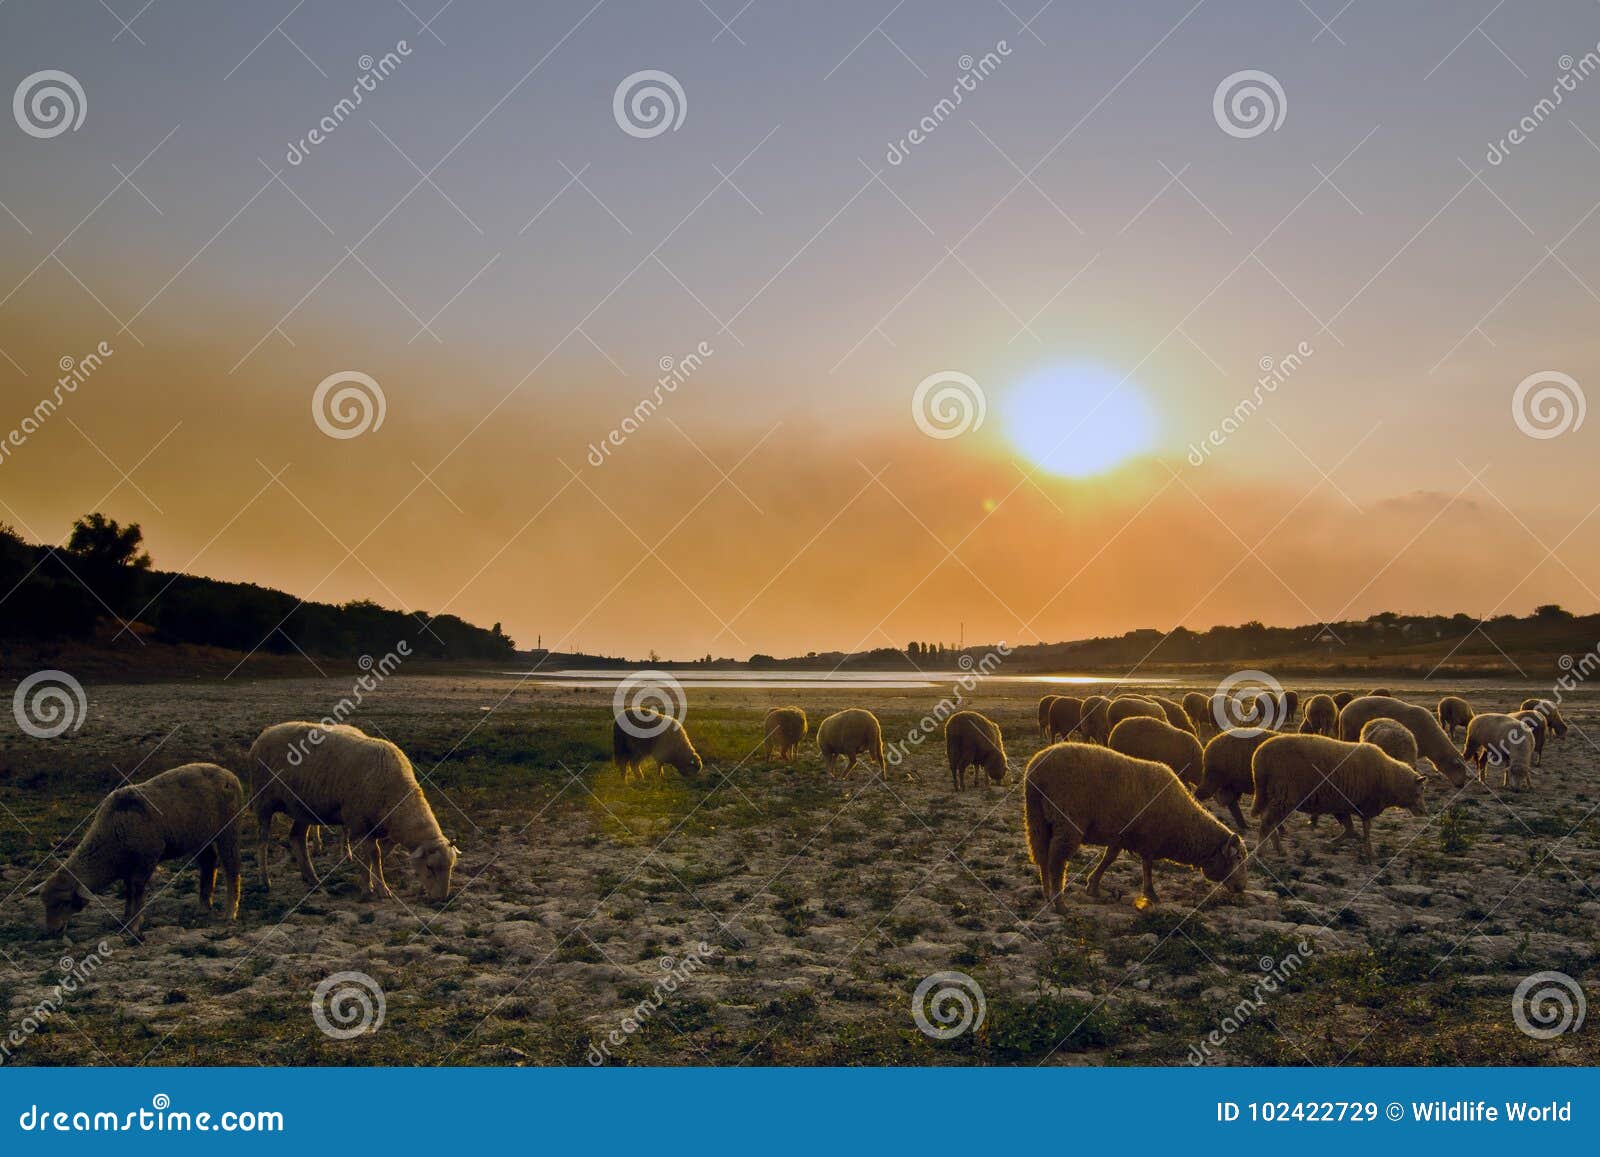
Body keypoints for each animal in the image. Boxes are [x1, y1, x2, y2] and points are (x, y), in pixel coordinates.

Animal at [34, 762, 244, 937]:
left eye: (64, 902)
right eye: (45, 904)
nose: (51, 931)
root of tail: (229, 774)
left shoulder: (147, 858)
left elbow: (137, 891)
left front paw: (134, 925)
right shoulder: (127, 866)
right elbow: (127, 890)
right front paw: (125, 917)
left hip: (229, 828)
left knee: (232, 867)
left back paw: (230, 912)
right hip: (199, 836)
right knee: (209, 863)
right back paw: (204, 906)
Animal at [249, 722, 459, 901]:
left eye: (451, 867)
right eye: (429, 867)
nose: (443, 898)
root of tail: (265, 733)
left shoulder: (378, 829)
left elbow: (376, 856)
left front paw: (372, 884)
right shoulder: (360, 823)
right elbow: (372, 855)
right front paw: (375, 889)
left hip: (302, 808)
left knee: (297, 837)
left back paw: (312, 878)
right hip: (264, 801)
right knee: (262, 840)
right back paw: (265, 881)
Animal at [1023, 743, 1248, 910]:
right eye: (1237, 857)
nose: (1242, 888)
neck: (1182, 824)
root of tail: (1035, 771)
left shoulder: (1120, 835)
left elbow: (1109, 858)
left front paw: (1093, 886)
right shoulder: (1150, 839)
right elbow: (1147, 865)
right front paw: (1151, 894)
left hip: (1037, 818)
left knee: (1042, 855)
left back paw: (1047, 895)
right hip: (1067, 819)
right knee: (1056, 860)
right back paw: (1059, 903)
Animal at [1250, 734, 1427, 861]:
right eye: (1420, 791)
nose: (1424, 812)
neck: (1391, 777)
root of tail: (1259, 757)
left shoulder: (1340, 806)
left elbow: (1350, 830)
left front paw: (1330, 843)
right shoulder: (1364, 807)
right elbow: (1366, 831)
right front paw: (1370, 853)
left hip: (1272, 794)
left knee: (1269, 821)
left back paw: (1279, 850)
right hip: (1284, 795)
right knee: (1267, 822)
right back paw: (1260, 853)